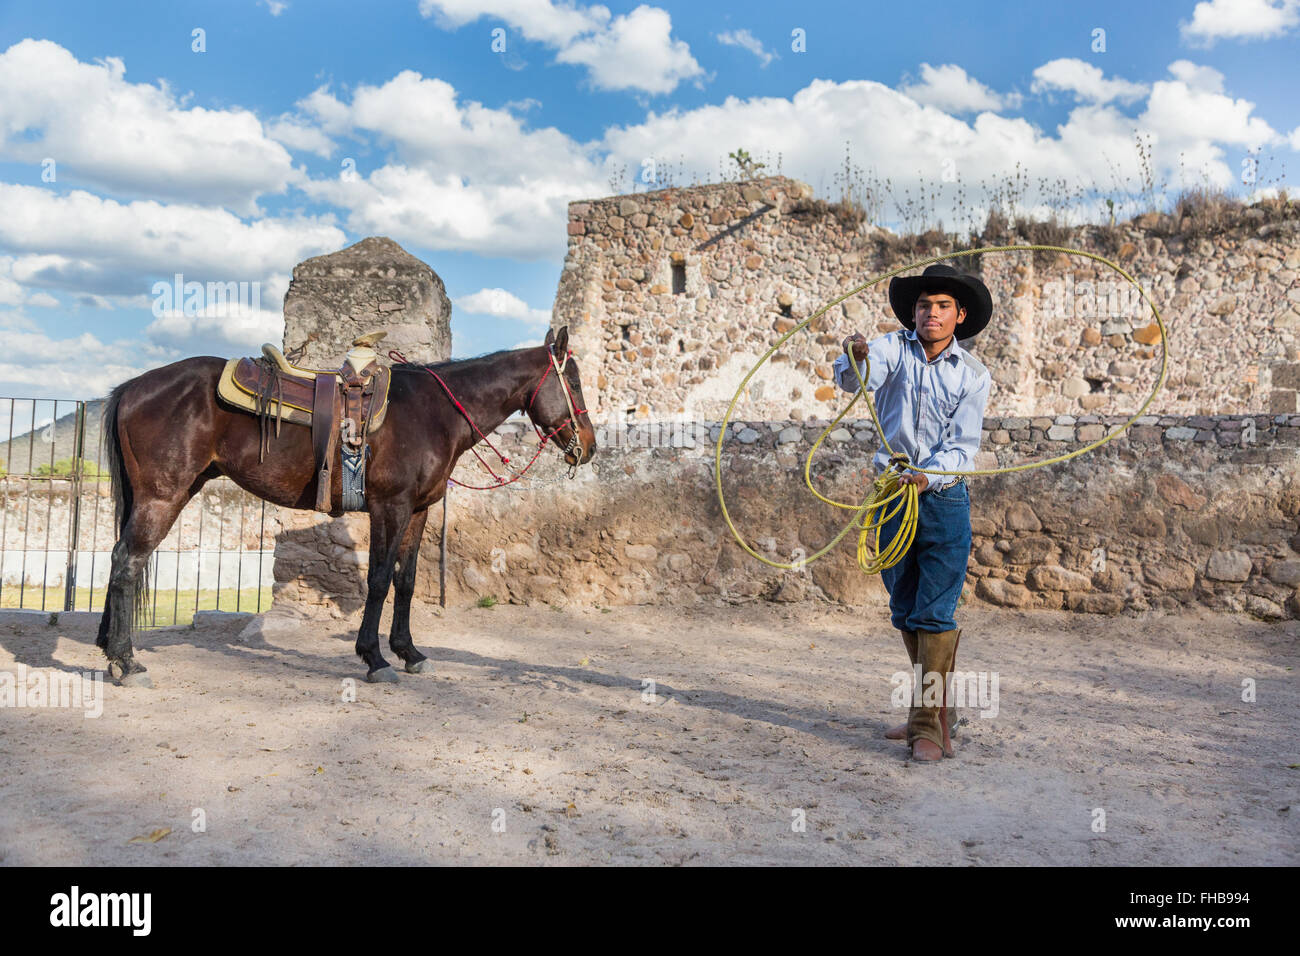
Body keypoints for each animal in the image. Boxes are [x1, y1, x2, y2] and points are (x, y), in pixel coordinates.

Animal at [95, 326, 596, 687]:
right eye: (572, 382)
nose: (588, 447)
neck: (434, 413)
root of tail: (133, 387)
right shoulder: (390, 508)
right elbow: (378, 580)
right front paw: (374, 658)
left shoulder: (418, 511)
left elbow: (406, 581)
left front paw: (409, 652)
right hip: (163, 496)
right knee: (127, 562)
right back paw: (125, 662)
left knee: (121, 559)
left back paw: (108, 647)